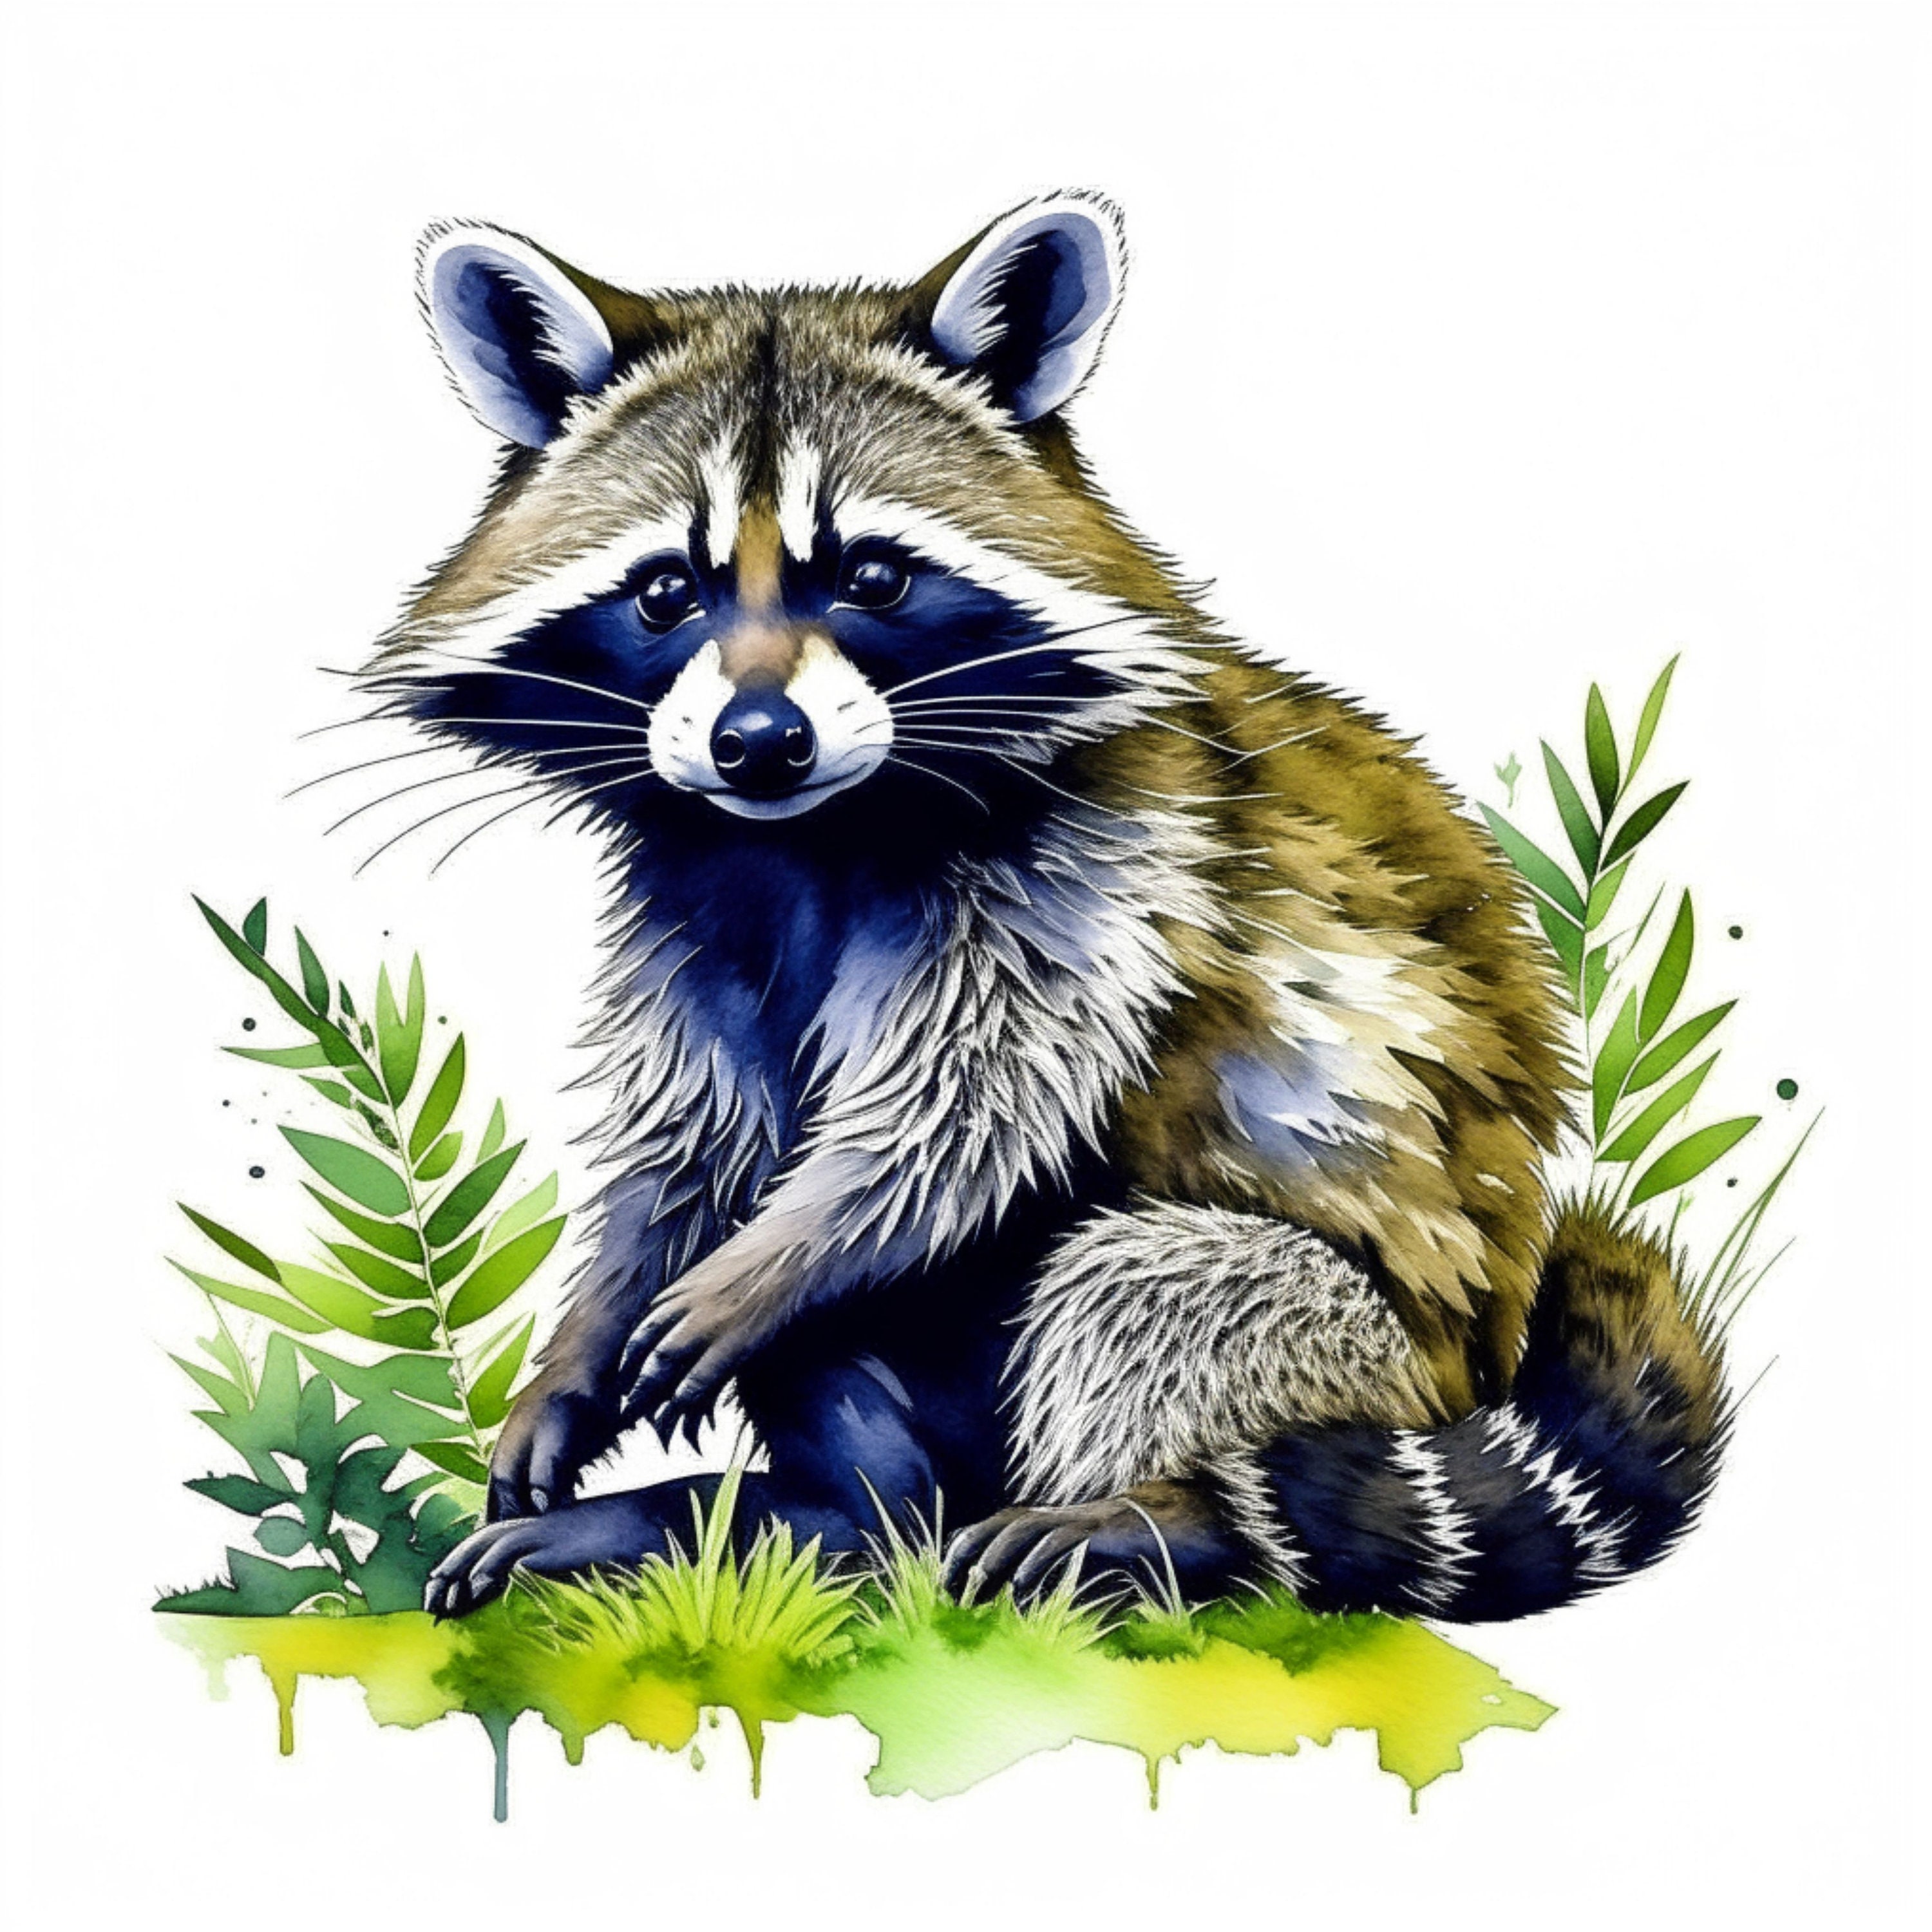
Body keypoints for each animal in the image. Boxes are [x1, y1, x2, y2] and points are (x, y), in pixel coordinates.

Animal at [380, 195, 1727, 1621]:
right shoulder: (691, 899)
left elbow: (962, 1115)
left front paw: (782, 1252)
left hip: (1361, 1339)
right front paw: (586, 1343)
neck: (809, 836)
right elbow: (699, 1134)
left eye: (870, 577)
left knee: (1145, 1292)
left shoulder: (1113, 853)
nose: (759, 744)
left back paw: (1162, 1514)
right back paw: (839, 1509)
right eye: (664, 593)